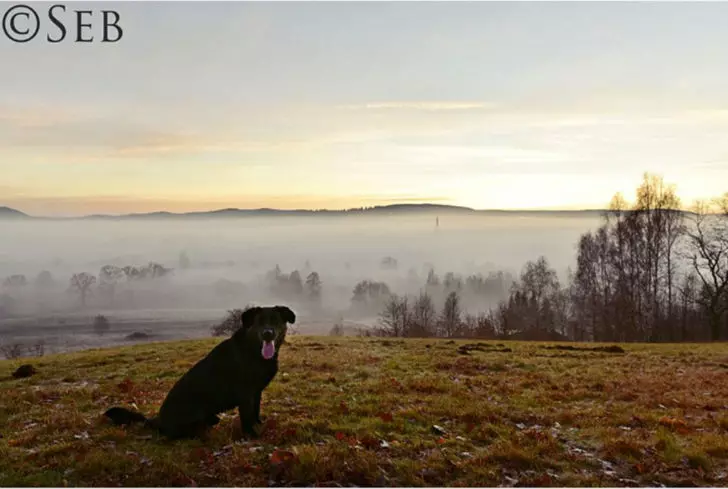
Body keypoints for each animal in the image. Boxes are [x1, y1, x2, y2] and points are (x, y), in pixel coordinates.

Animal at [103, 304, 296, 438]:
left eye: (275, 321)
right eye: (259, 322)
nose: (267, 333)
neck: (253, 349)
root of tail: (157, 420)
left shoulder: (256, 392)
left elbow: (255, 413)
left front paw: (259, 425)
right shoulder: (245, 394)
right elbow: (247, 417)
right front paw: (252, 435)